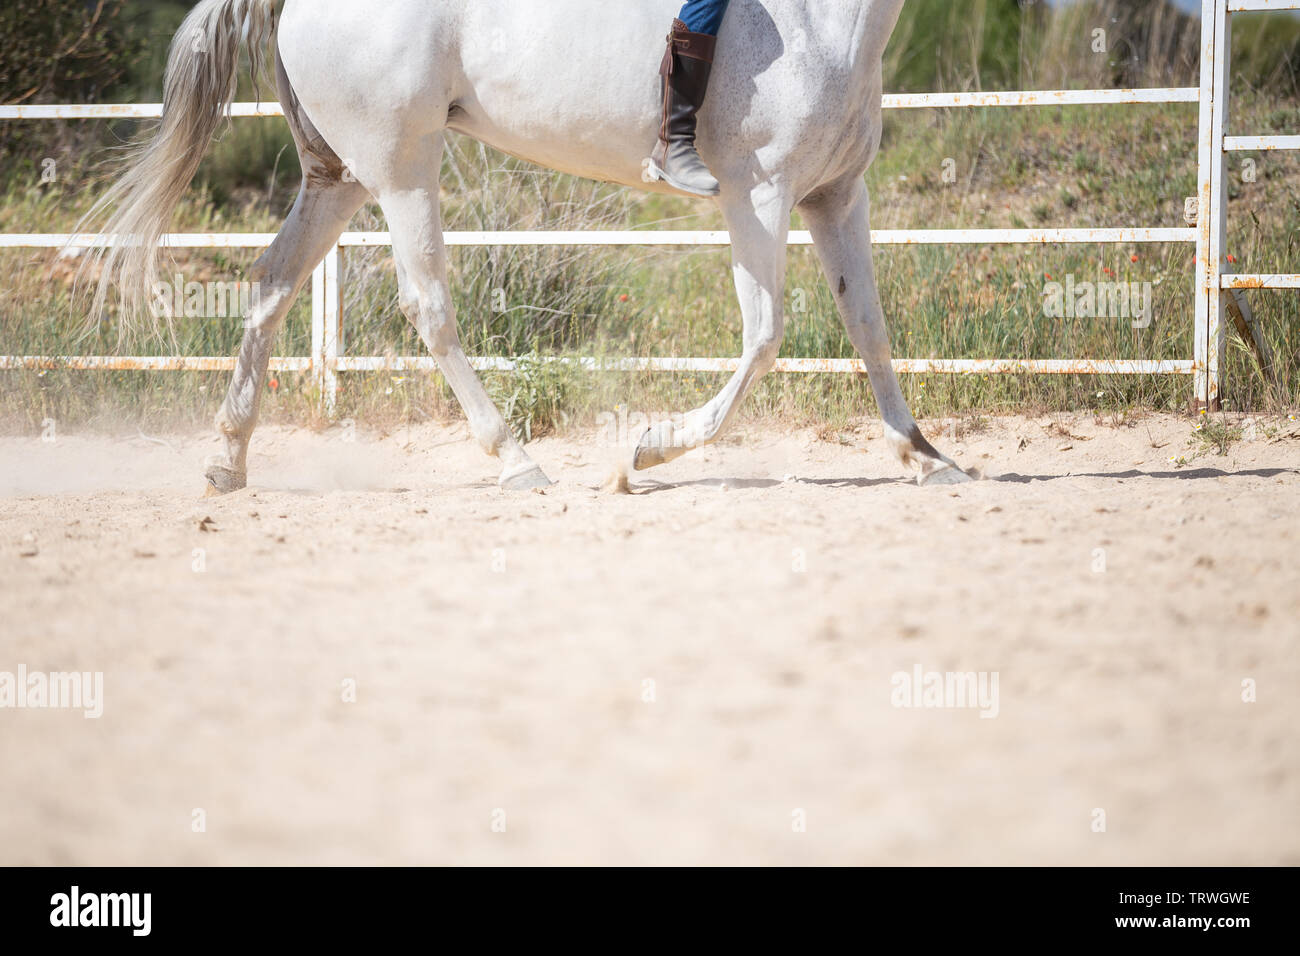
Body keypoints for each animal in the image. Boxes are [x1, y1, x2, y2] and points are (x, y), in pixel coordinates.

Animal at [83, 0, 971, 493]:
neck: (818, 19)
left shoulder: (835, 196)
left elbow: (870, 330)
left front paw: (925, 456)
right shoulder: (760, 195)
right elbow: (764, 339)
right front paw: (641, 453)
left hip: (337, 176)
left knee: (272, 281)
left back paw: (227, 464)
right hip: (401, 169)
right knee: (428, 305)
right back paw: (516, 460)